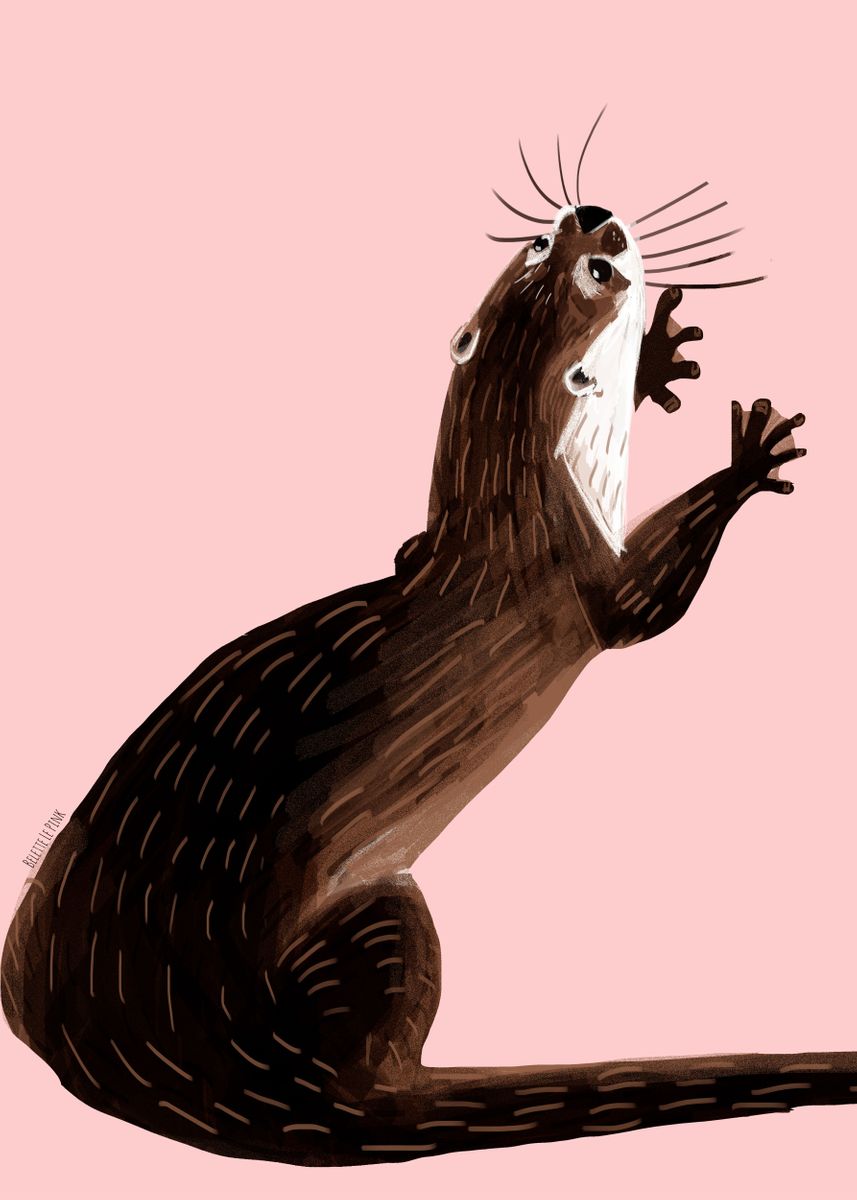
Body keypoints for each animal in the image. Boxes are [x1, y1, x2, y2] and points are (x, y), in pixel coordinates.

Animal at [3, 151, 855, 1167]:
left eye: (544, 242)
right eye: (594, 271)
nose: (593, 214)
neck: (505, 508)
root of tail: (220, 1084)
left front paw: (662, 354)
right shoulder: (569, 581)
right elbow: (644, 611)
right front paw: (747, 457)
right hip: (384, 917)